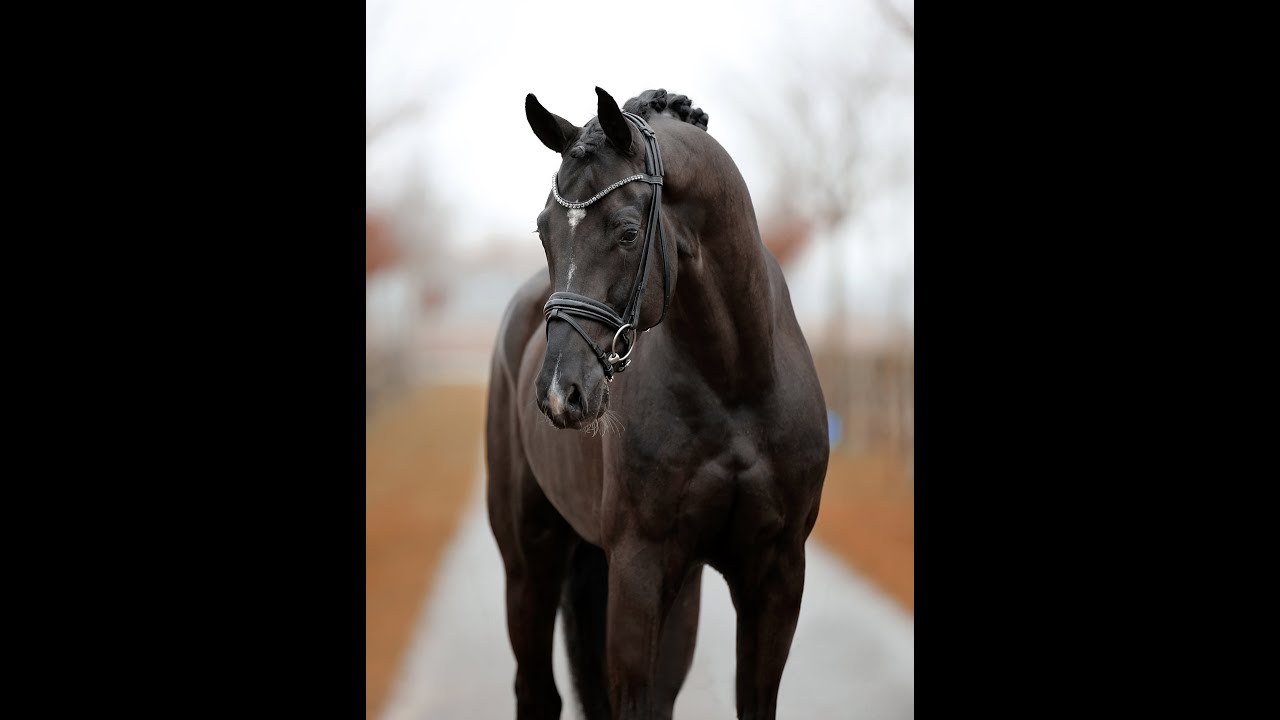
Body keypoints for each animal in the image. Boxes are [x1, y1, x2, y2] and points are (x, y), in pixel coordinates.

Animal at [485, 86, 829, 720]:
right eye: (545, 231)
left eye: (626, 231)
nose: (559, 393)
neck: (734, 382)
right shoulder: (638, 570)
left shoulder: (776, 575)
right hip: (529, 558)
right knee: (537, 690)